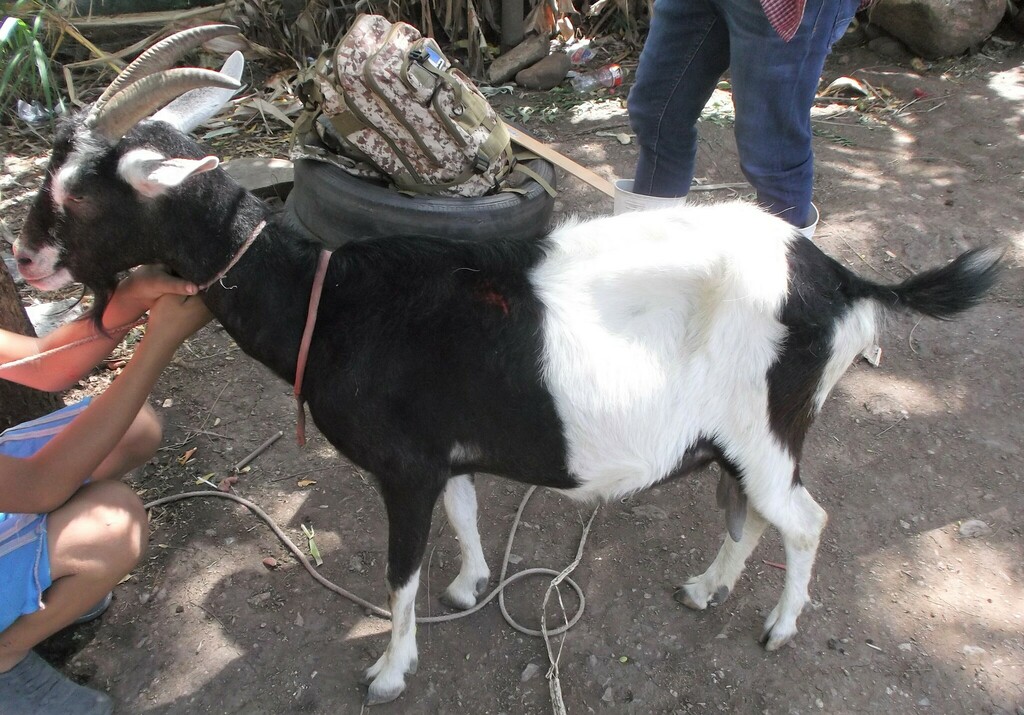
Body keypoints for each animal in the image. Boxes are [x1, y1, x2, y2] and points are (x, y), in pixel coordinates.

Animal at [13, 26, 1001, 706]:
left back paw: (781, 625)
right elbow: (465, 513)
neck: (327, 300)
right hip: (741, 437)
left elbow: (399, 569)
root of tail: (838, 275)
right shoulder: (444, 452)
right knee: (752, 513)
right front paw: (472, 581)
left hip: (768, 426)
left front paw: (390, 668)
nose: (24, 263)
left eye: (76, 196)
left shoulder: (403, 466)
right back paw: (706, 588)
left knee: (804, 519)